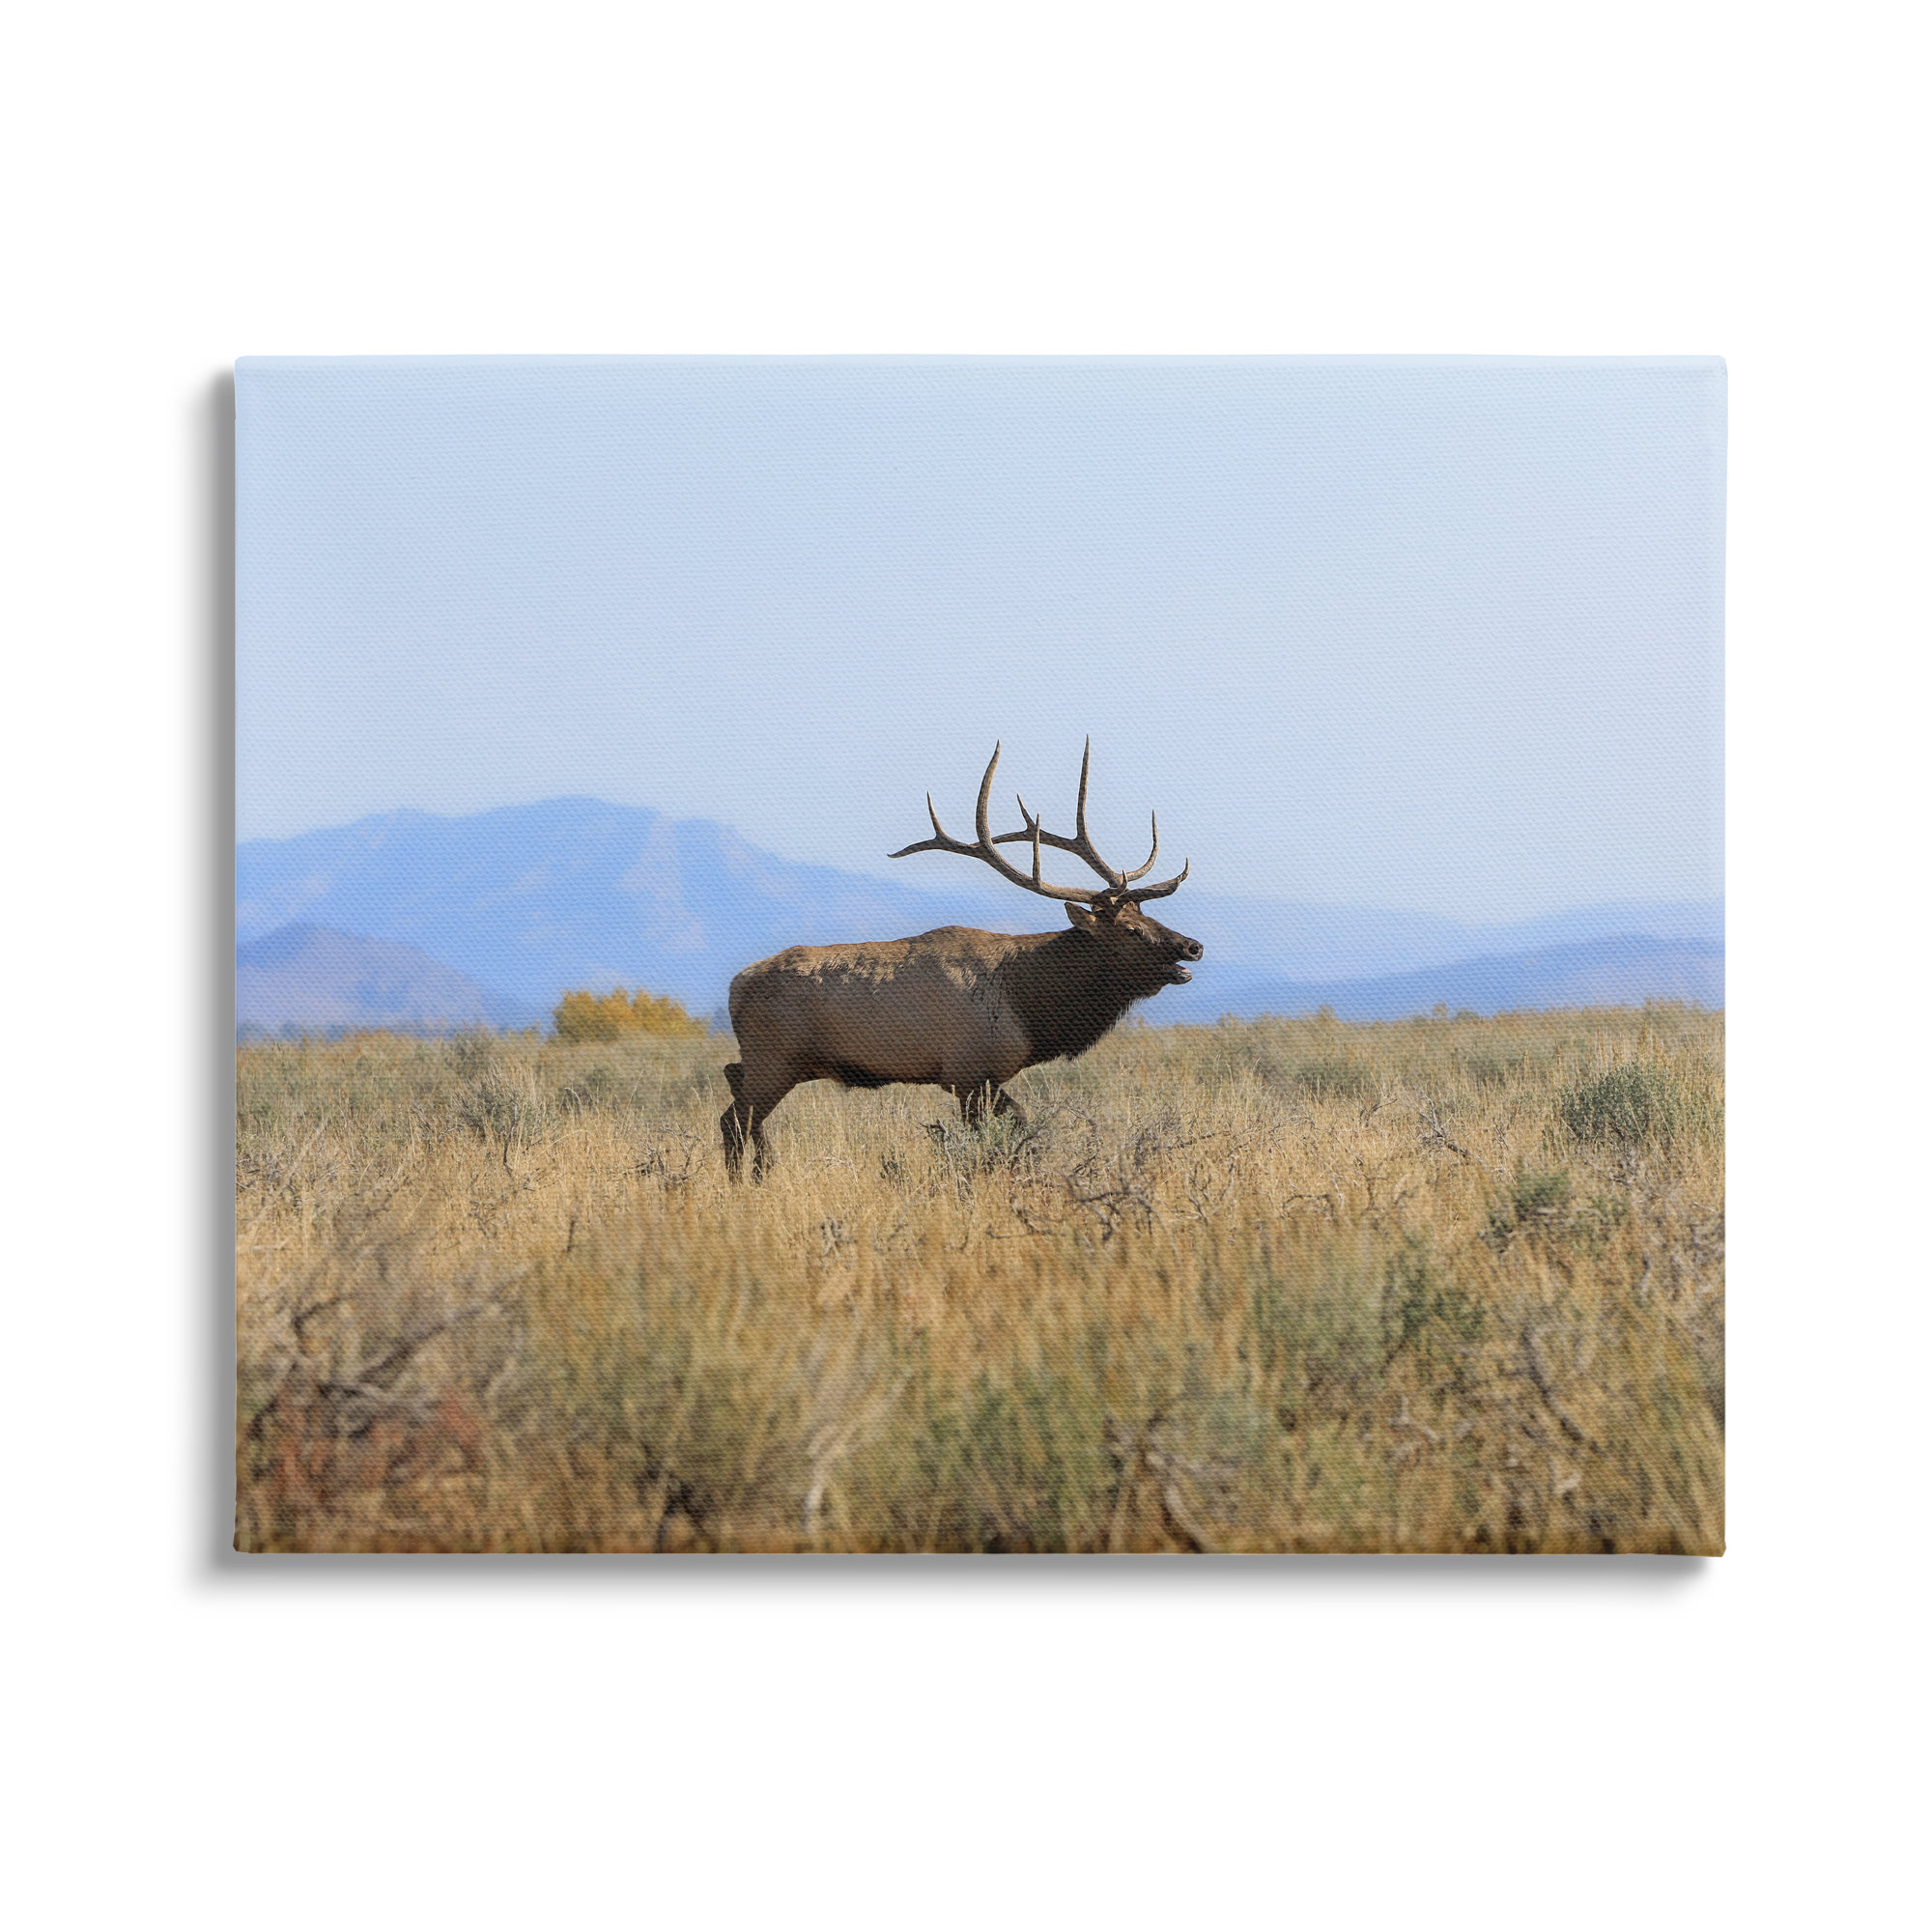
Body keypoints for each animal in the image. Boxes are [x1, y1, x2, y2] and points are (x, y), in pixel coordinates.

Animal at [719, 740, 1201, 1178]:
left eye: (1150, 917)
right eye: (1131, 930)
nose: (1192, 946)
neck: (1030, 1007)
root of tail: (735, 985)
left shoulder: (980, 1076)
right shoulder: (968, 1071)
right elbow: (1008, 1130)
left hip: (782, 1062)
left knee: (733, 1083)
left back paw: (762, 1170)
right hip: (775, 1056)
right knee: (733, 1120)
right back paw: (745, 1181)